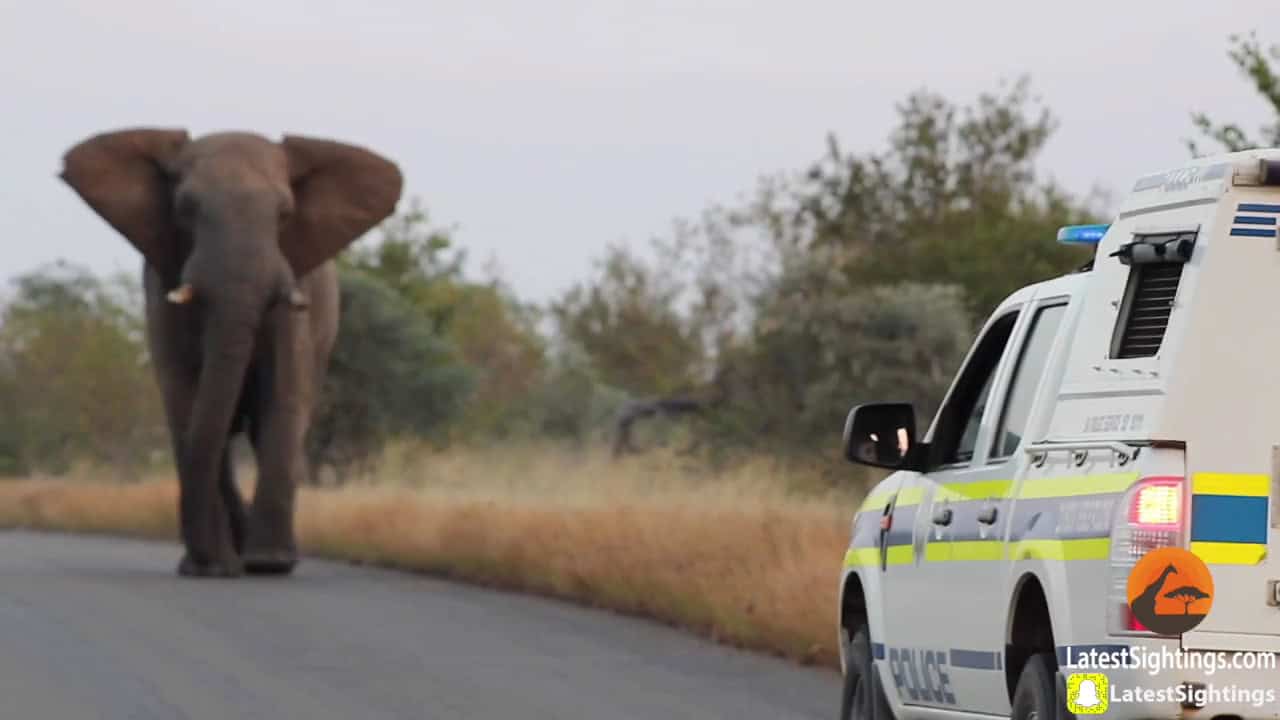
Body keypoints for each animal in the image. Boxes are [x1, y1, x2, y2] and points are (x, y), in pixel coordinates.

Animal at [59, 128, 403, 577]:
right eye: (185, 209)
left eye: (285, 213)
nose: (207, 562)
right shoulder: (162, 291)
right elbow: (188, 402)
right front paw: (214, 568)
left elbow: (281, 395)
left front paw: (269, 564)